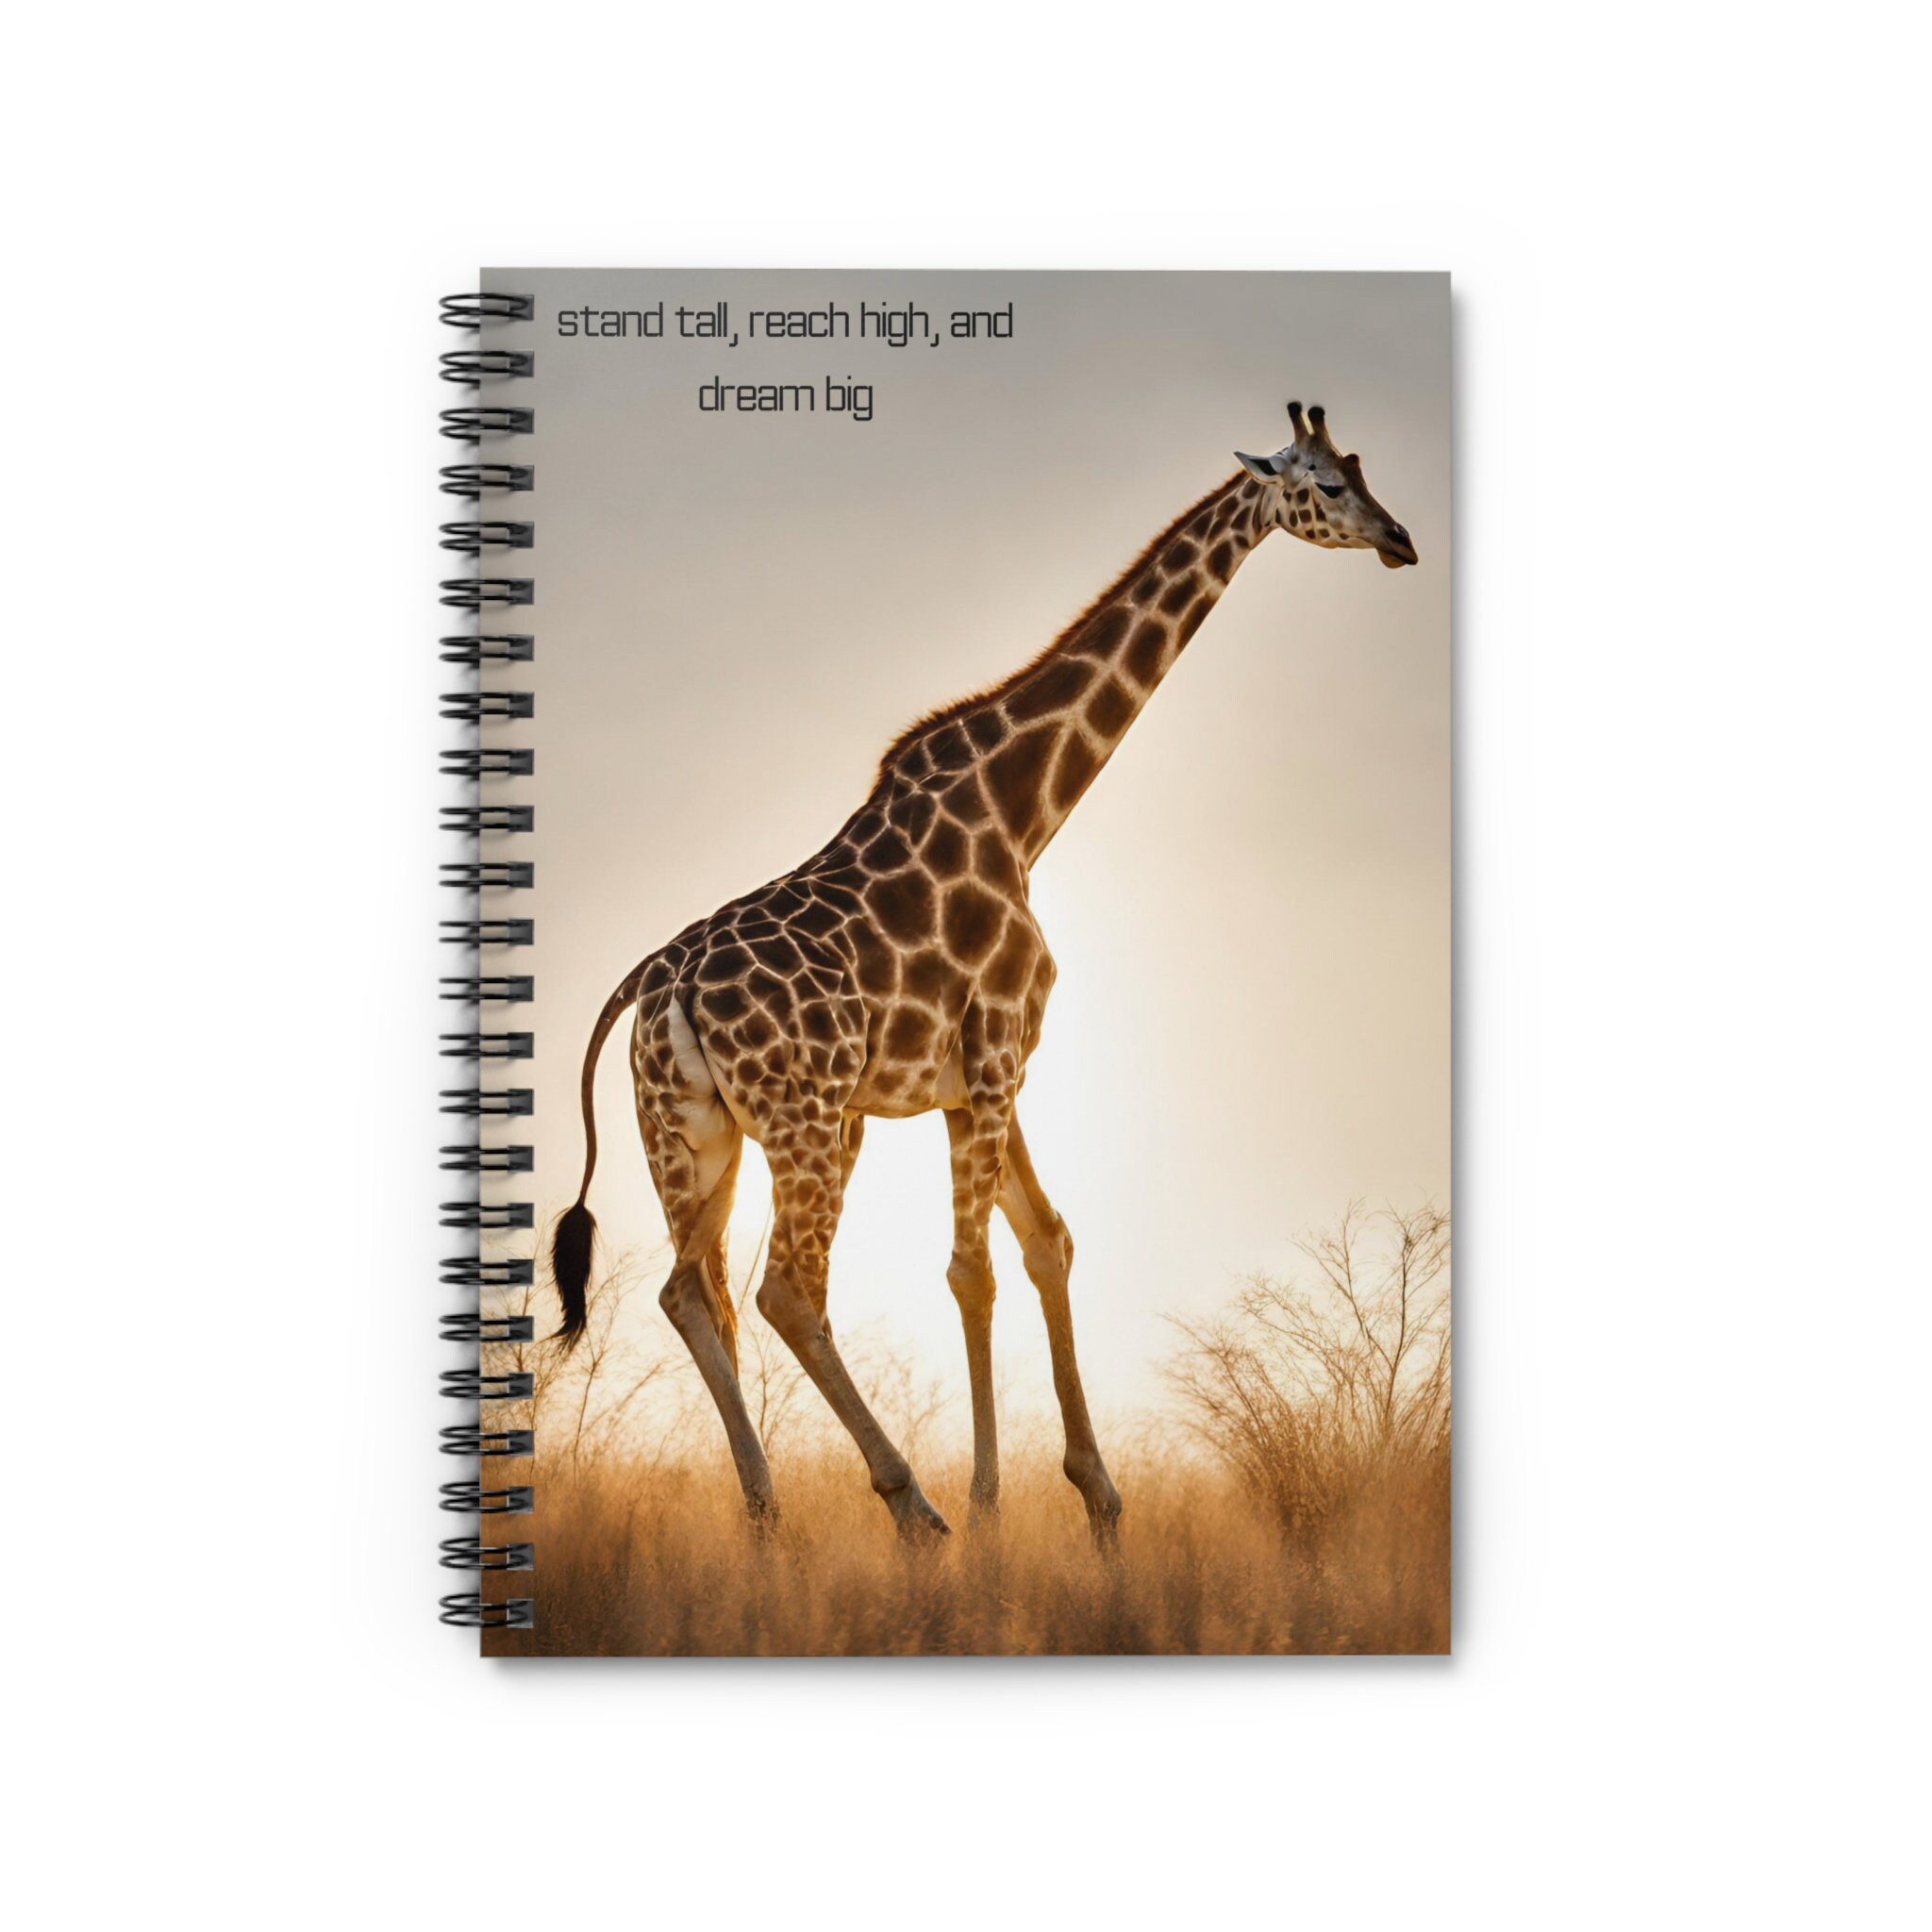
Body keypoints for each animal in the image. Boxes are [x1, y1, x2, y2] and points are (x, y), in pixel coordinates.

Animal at [551, 401, 1417, 1545]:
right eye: (1321, 484)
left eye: (1359, 467)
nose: (1400, 540)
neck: (1022, 812)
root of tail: (660, 983)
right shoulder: (997, 1047)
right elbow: (976, 1269)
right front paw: (992, 1512)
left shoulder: (976, 1075)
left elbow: (1047, 1239)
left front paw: (1100, 1501)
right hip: (809, 1115)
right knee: (784, 1289)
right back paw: (912, 1510)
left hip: (690, 1130)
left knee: (693, 1292)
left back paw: (765, 1522)